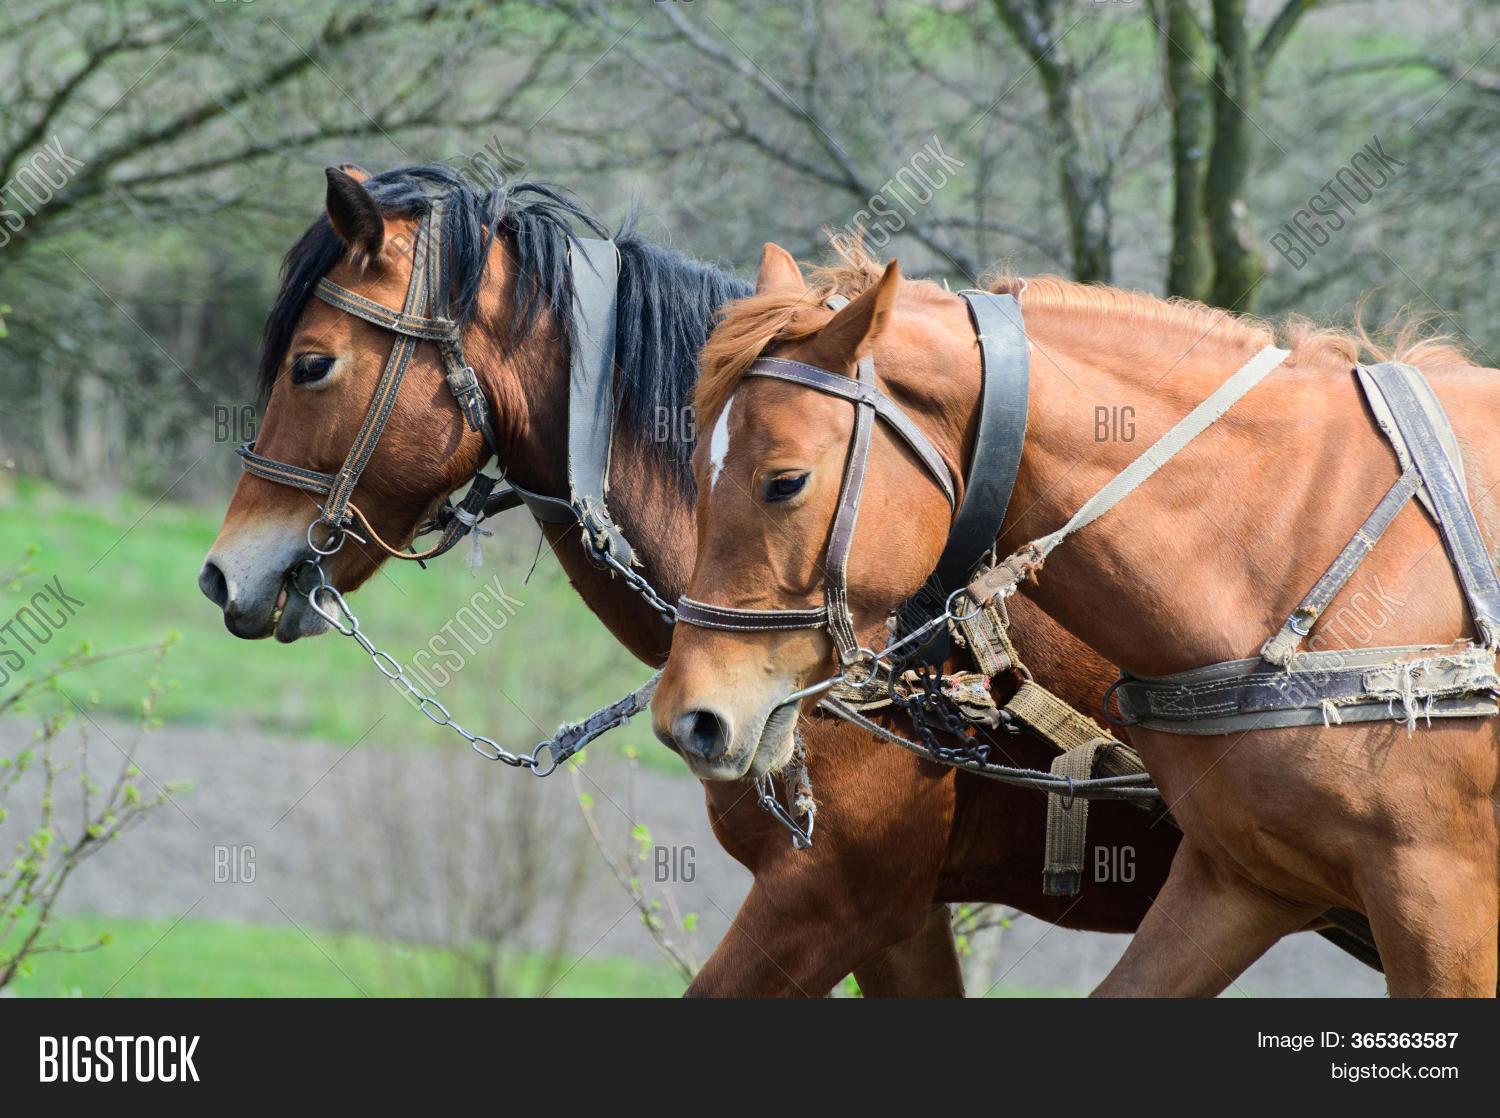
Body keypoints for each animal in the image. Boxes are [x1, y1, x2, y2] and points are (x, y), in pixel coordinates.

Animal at [652, 242, 1500, 997]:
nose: (688, 719)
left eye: (784, 482)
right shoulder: (1242, 882)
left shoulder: (1439, 898)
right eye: (687, 465)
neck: (1296, 530)